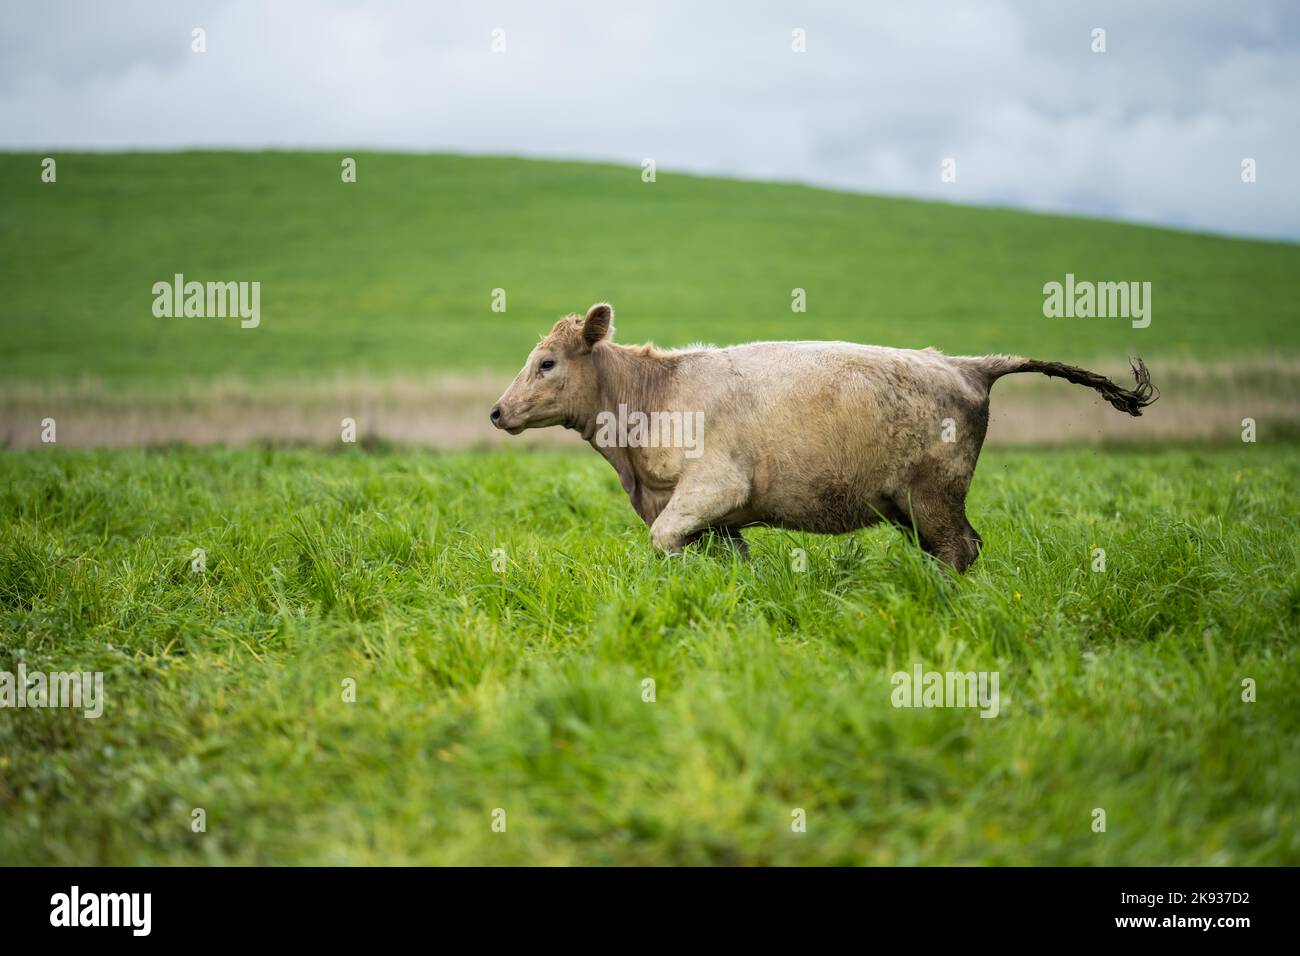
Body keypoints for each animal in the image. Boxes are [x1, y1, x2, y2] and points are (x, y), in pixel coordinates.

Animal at [490, 303, 1156, 571]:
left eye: (546, 363)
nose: (497, 412)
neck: (655, 395)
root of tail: (965, 365)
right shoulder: (721, 515)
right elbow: (731, 562)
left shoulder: (713, 485)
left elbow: (663, 541)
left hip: (933, 494)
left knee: (959, 549)